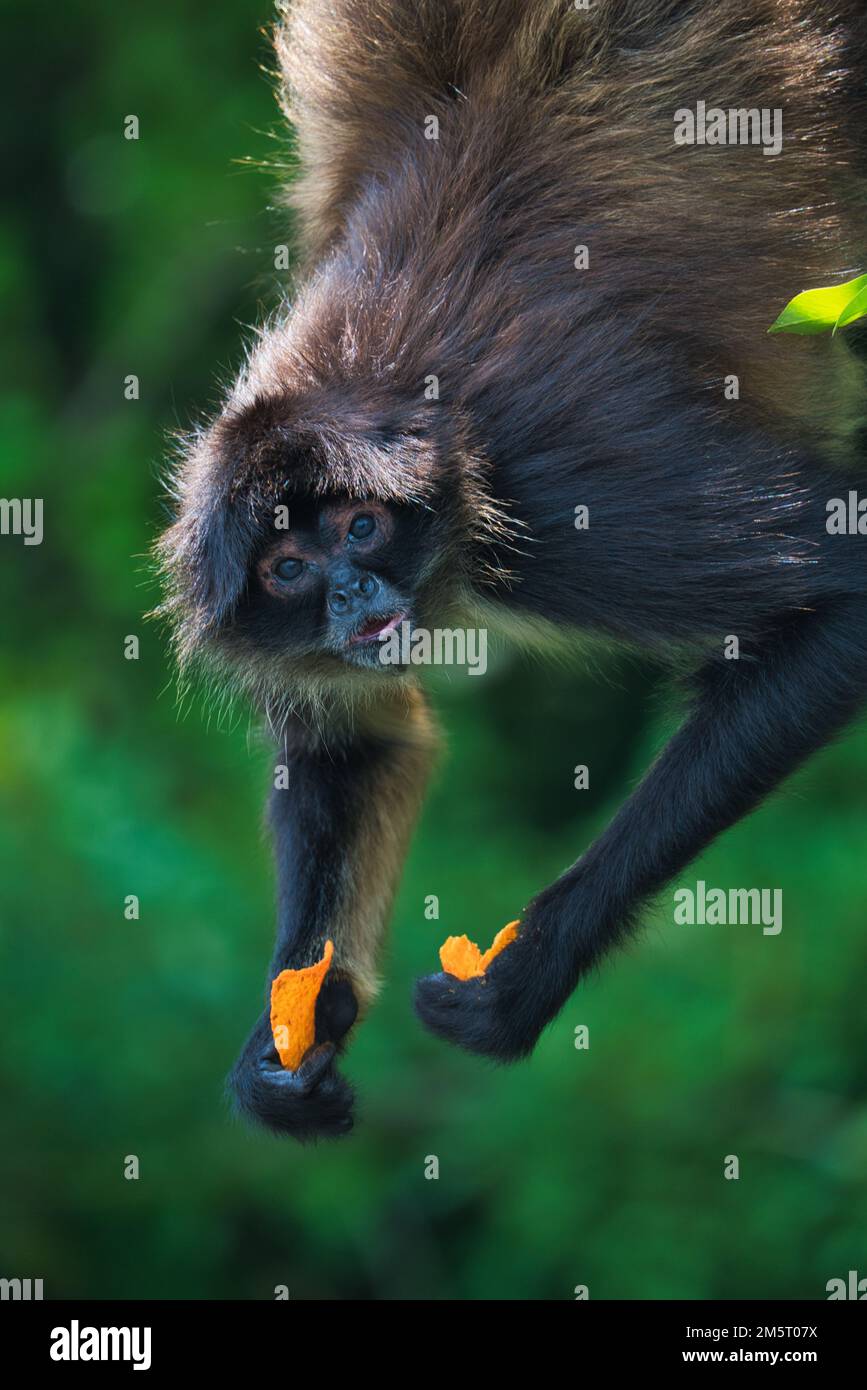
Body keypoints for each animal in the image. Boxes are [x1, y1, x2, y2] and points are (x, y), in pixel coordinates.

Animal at [157, 0, 867, 1140]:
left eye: (363, 528)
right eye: (289, 567)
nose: (352, 595)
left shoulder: (565, 493)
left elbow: (846, 594)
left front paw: (530, 972)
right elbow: (362, 746)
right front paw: (293, 1037)